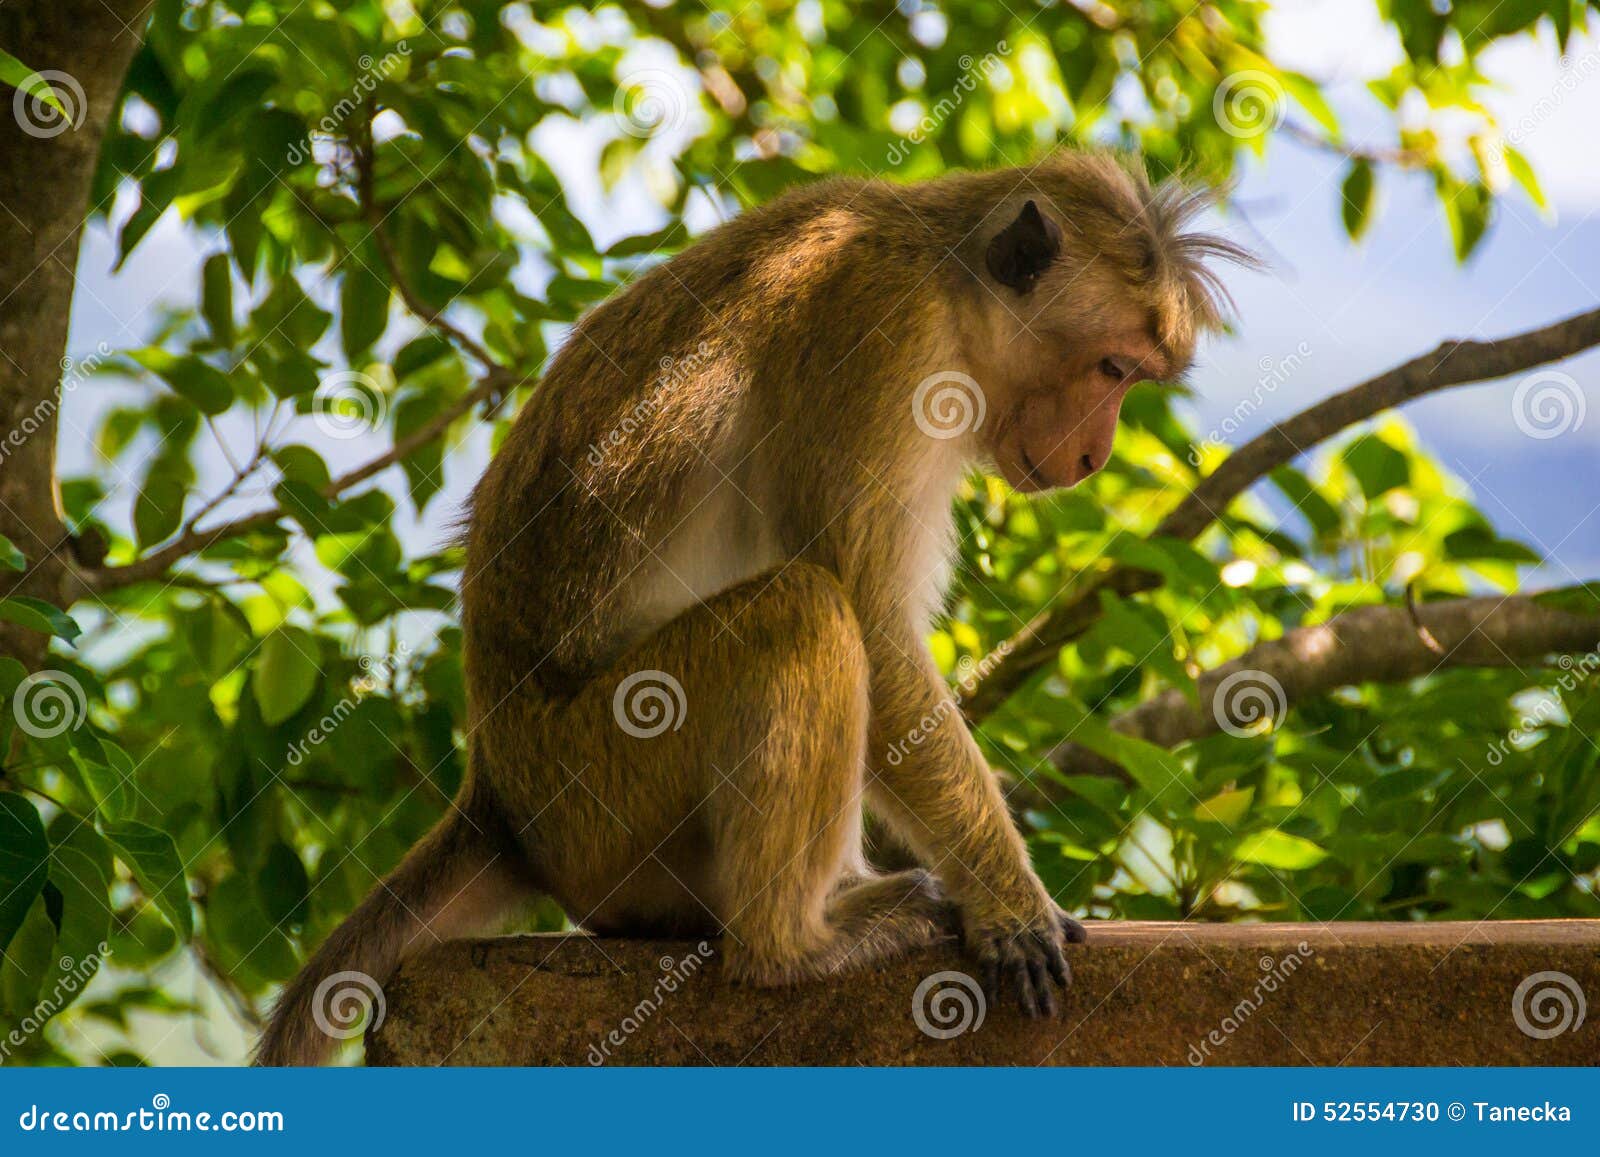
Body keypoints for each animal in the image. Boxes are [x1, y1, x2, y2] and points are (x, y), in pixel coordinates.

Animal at [256, 149, 1246, 1066]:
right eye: (1113, 367)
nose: (1093, 455)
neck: (946, 278)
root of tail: (499, 799)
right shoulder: (883, 333)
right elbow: (870, 620)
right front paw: (1011, 903)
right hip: (599, 789)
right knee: (799, 607)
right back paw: (792, 948)